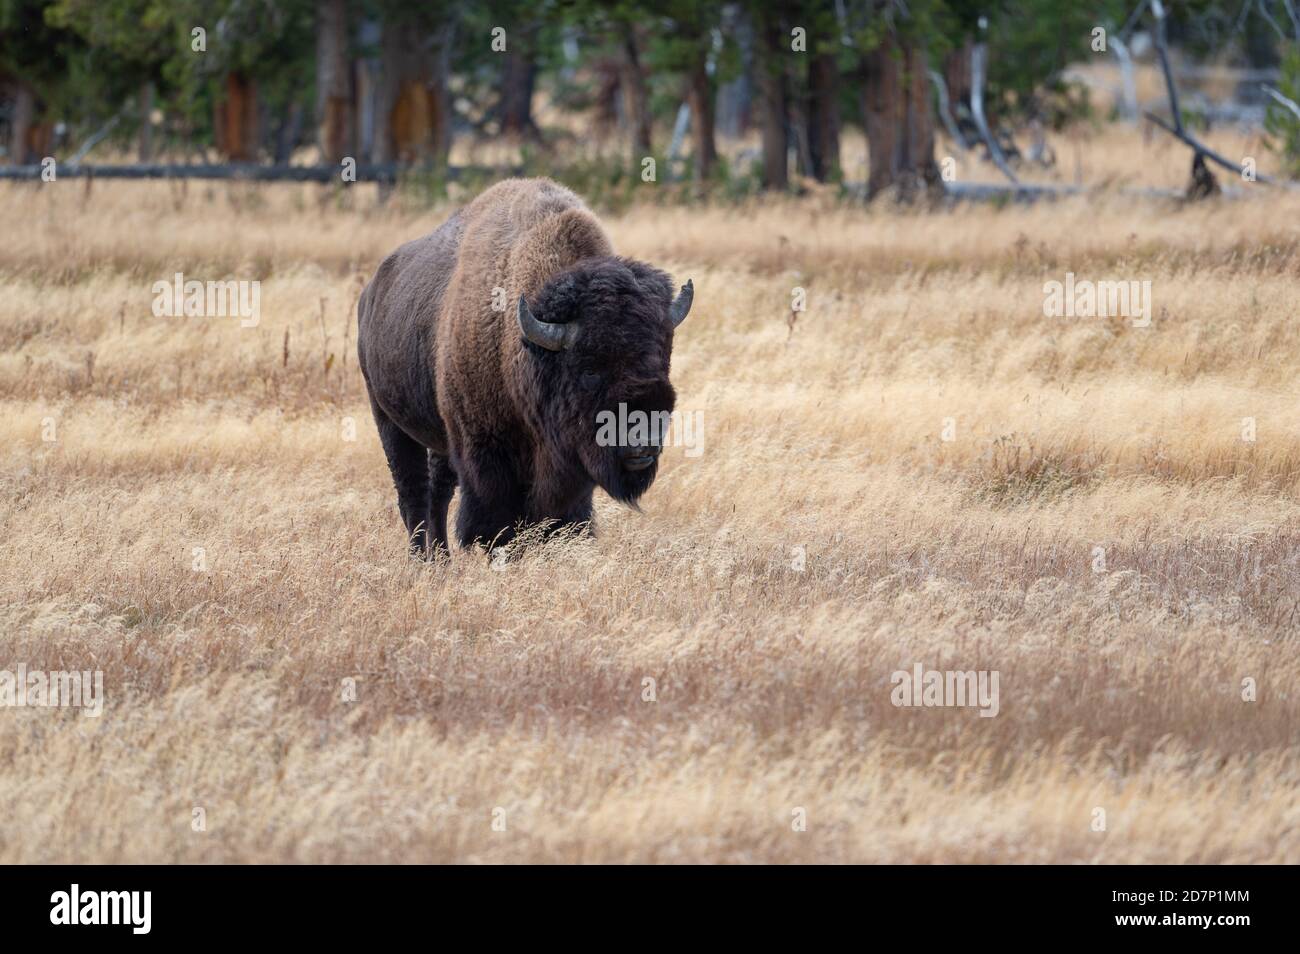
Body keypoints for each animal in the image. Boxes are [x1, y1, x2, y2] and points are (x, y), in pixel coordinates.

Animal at [357, 178, 693, 557]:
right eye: (590, 370)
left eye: (661, 358)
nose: (644, 441)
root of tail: (370, 294)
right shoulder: (485, 454)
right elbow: (495, 516)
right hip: (388, 419)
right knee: (412, 493)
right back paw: (422, 560)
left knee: (437, 493)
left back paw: (441, 560)